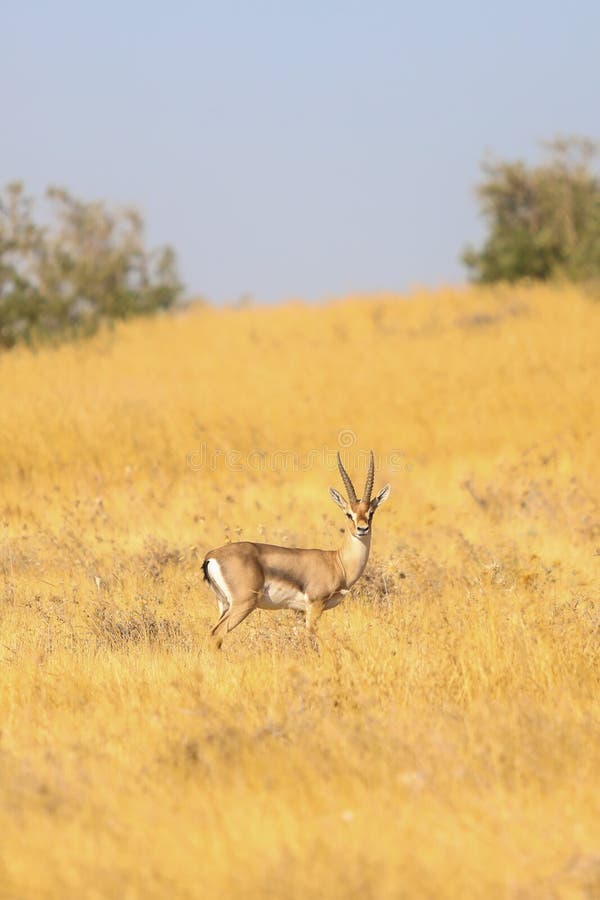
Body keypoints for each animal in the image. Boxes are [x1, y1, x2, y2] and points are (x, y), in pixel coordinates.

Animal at [202, 451, 390, 648]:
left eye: (371, 513)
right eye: (349, 514)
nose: (362, 529)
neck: (338, 563)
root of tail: (211, 556)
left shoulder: (300, 611)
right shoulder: (315, 606)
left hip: (224, 605)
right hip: (242, 604)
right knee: (215, 634)